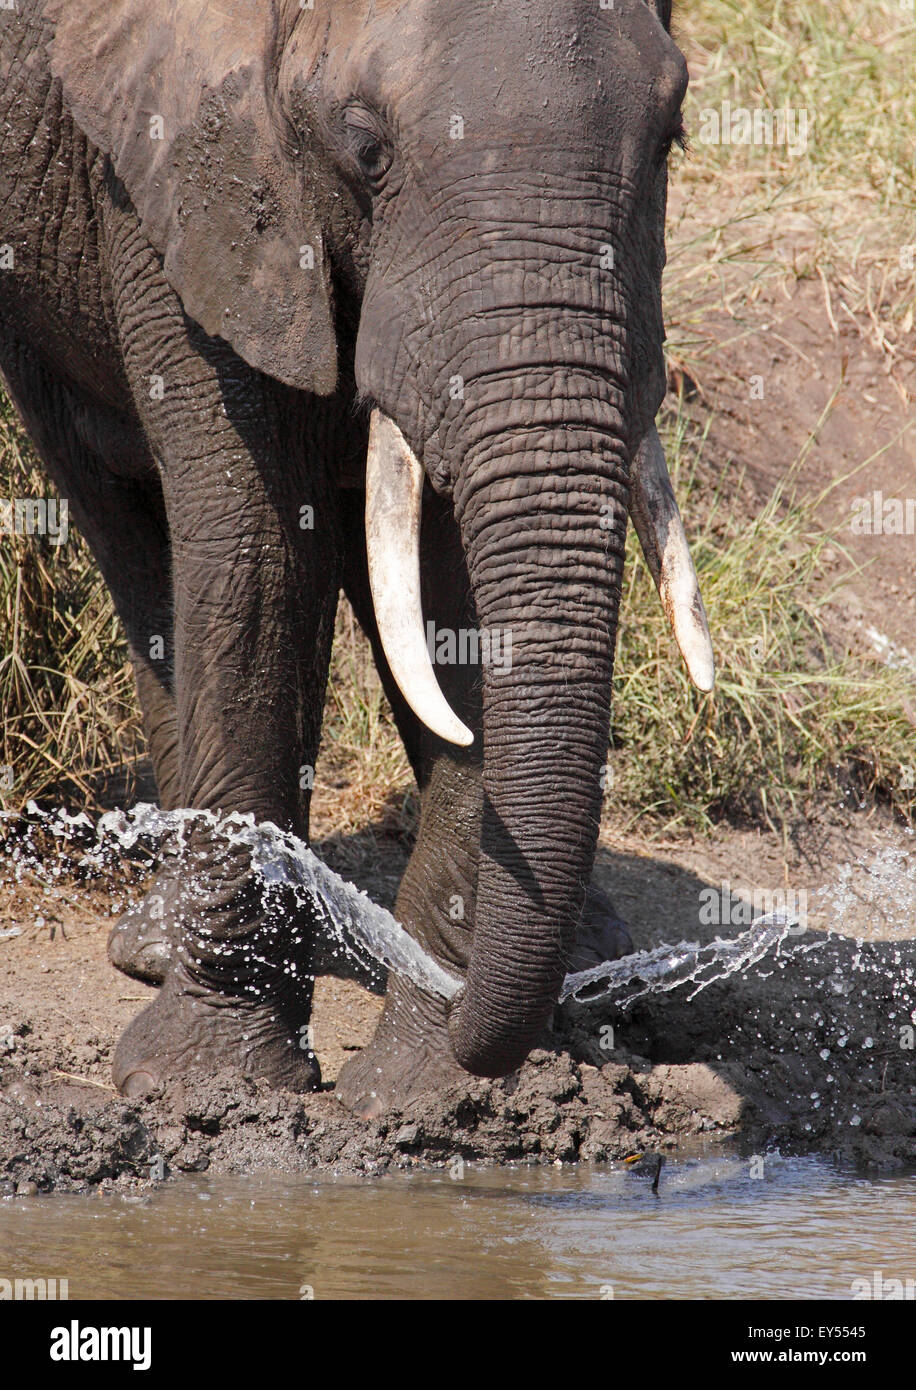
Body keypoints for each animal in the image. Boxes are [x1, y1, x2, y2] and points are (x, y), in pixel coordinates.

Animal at [0, 0, 713, 1114]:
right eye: (365, 150)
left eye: (671, 140)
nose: (470, 1022)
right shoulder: (188, 189)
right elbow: (253, 554)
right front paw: (209, 1081)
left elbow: (453, 592)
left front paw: (423, 1090)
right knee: (126, 526)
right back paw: (162, 946)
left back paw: (590, 957)